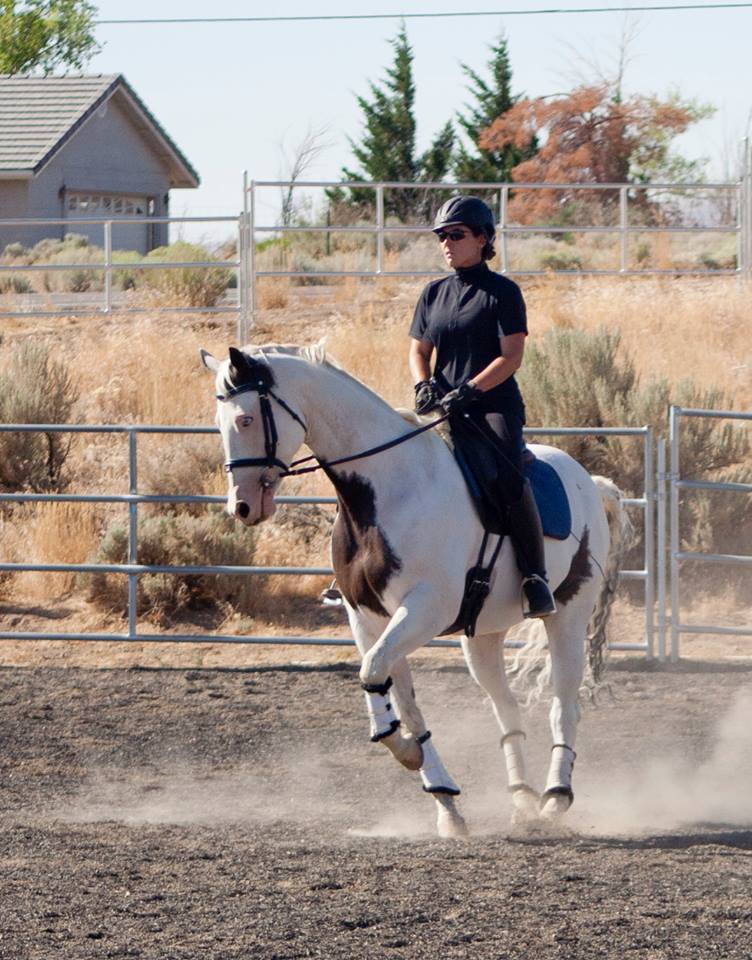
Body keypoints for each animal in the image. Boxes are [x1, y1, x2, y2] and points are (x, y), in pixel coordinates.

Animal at [200, 342, 629, 838]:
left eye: (247, 419)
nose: (242, 507)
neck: (385, 490)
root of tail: (588, 480)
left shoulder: (424, 610)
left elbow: (372, 672)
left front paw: (407, 751)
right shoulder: (369, 619)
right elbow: (396, 694)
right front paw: (441, 795)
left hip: (568, 615)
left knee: (564, 701)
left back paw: (555, 796)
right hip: (482, 635)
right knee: (507, 708)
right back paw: (522, 800)